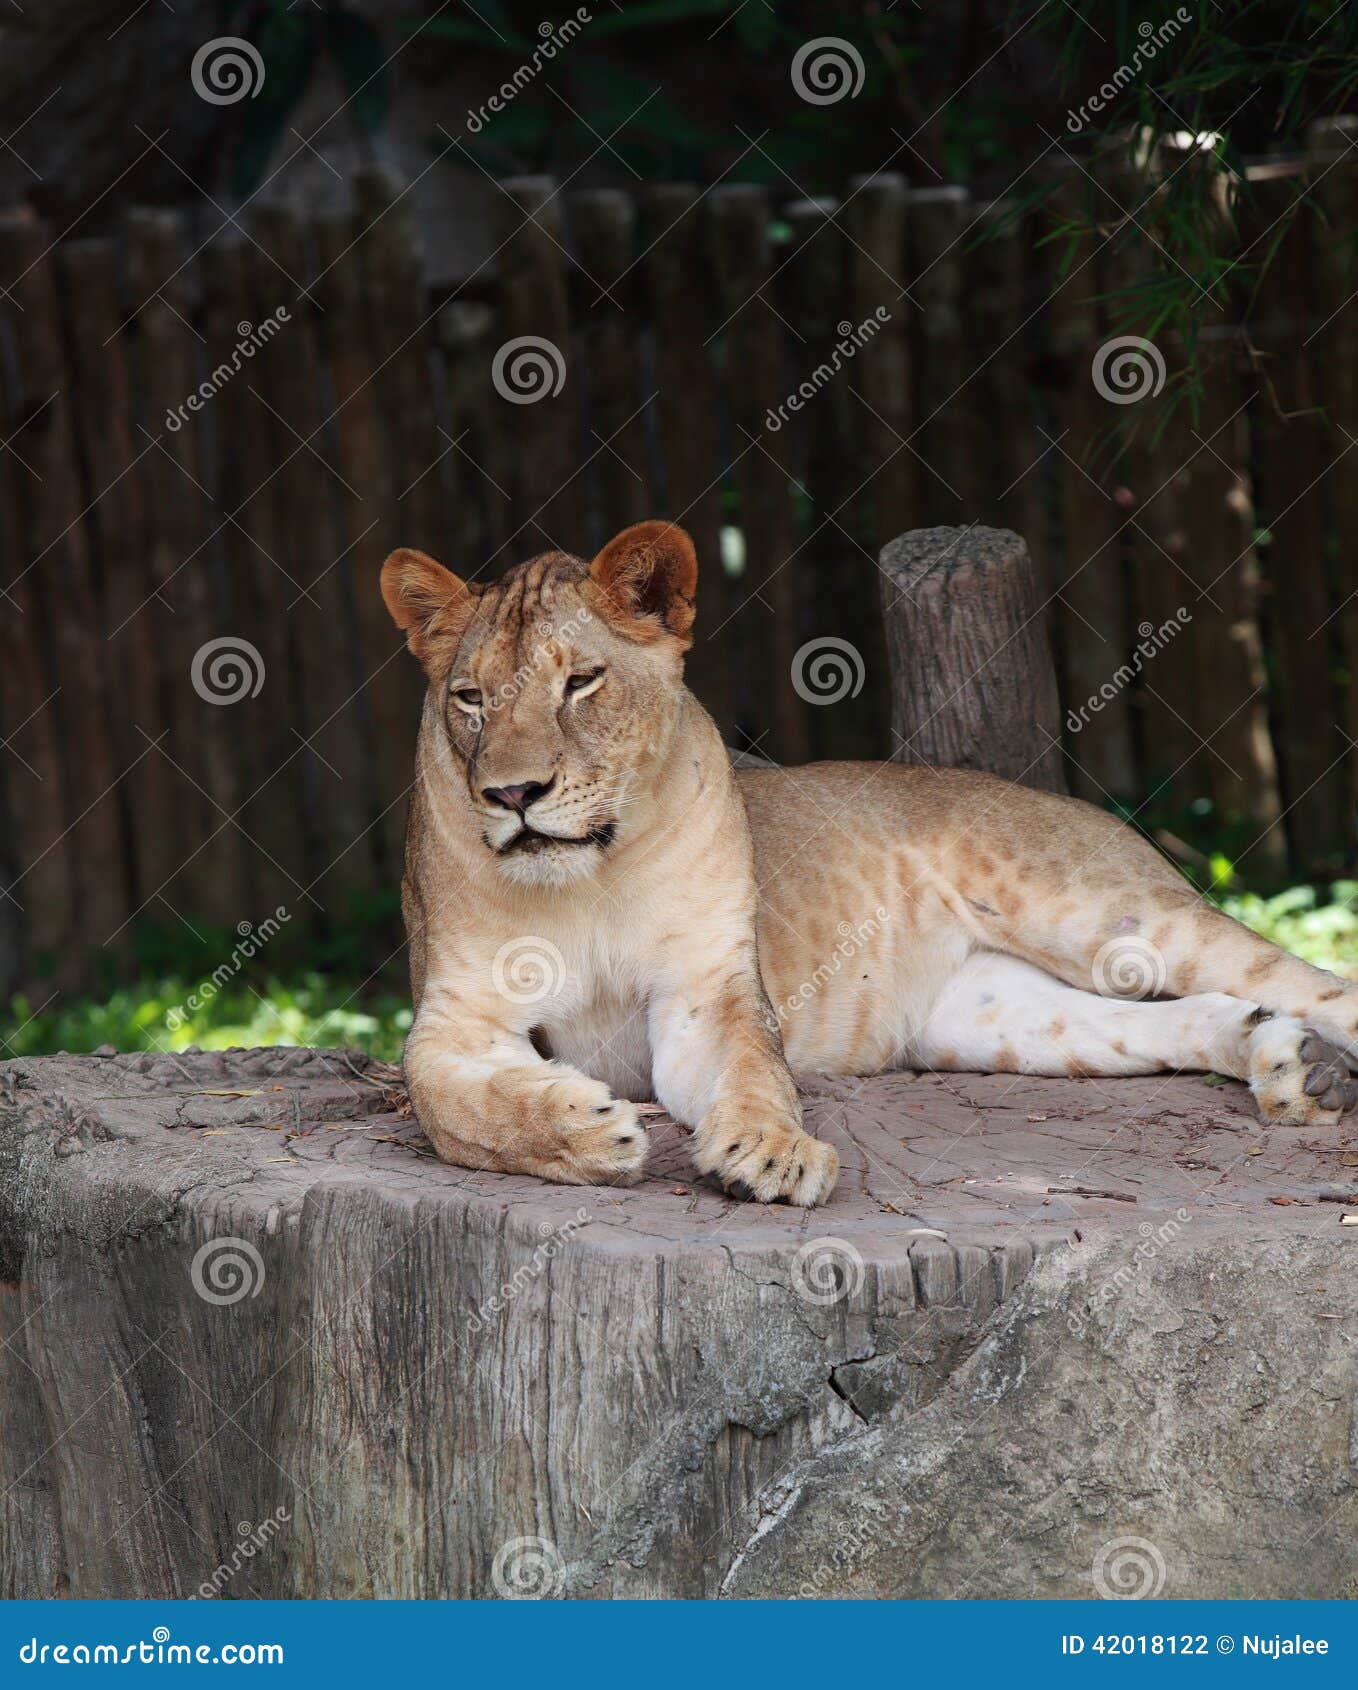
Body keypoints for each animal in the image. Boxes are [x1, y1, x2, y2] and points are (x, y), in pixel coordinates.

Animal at [380, 519, 1358, 1207]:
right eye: (469, 699)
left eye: (581, 682)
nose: (513, 794)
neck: (590, 878)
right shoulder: (454, 1017)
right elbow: (454, 1106)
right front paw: (580, 1128)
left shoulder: (708, 994)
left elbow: (755, 1075)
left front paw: (772, 1153)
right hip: (998, 1021)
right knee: (1186, 1014)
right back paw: (1285, 1062)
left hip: (1111, 916)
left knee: (1314, 982)